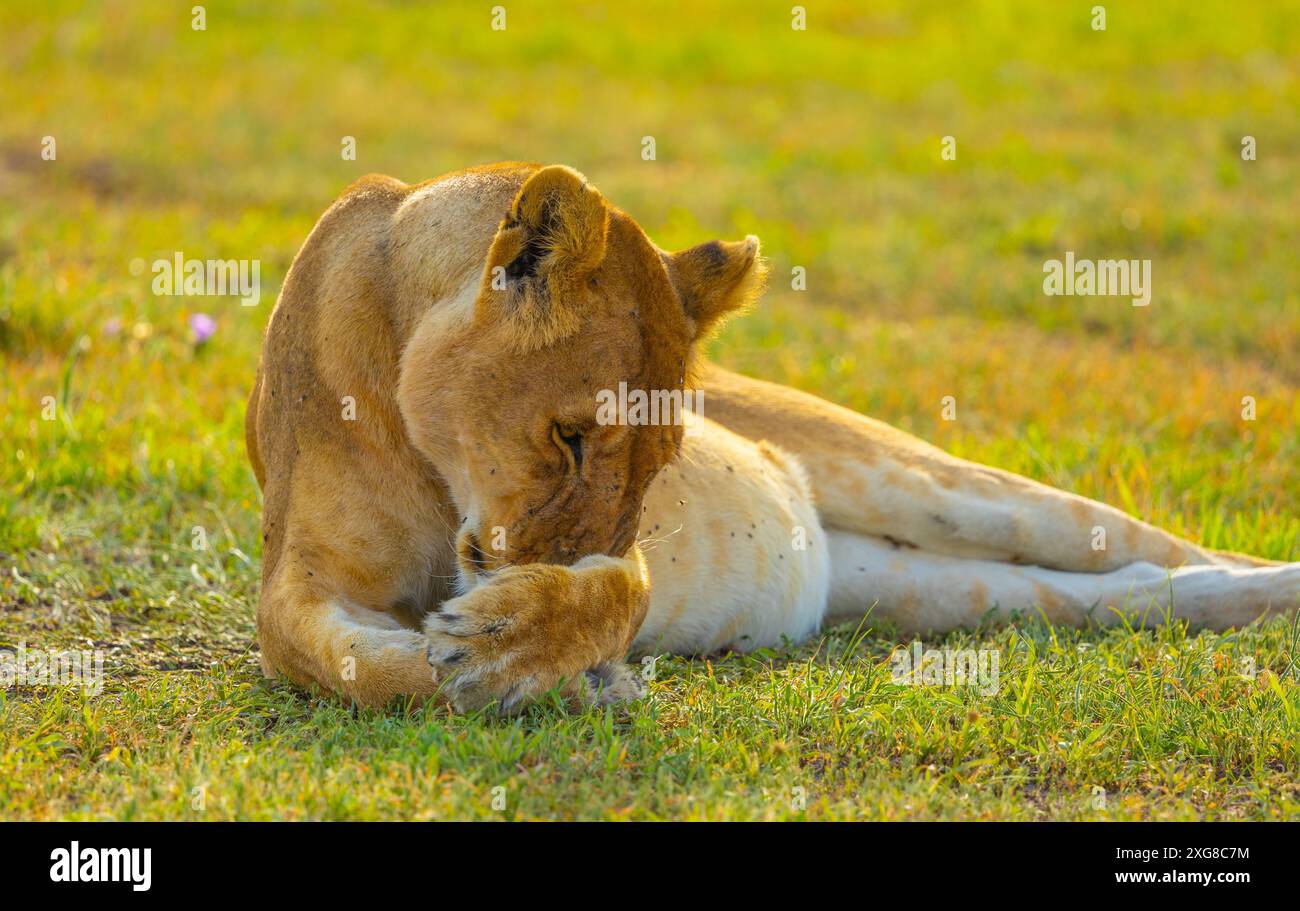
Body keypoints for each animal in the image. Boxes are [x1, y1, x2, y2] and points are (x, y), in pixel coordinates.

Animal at [246, 162, 1299, 711]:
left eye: (661, 465)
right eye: (572, 437)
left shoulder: (629, 556)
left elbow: (616, 594)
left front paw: (524, 650)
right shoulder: (299, 577)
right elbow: (365, 668)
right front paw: (559, 679)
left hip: (927, 481)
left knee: (1133, 542)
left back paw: (1270, 579)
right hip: (933, 591)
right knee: (1123, 593)